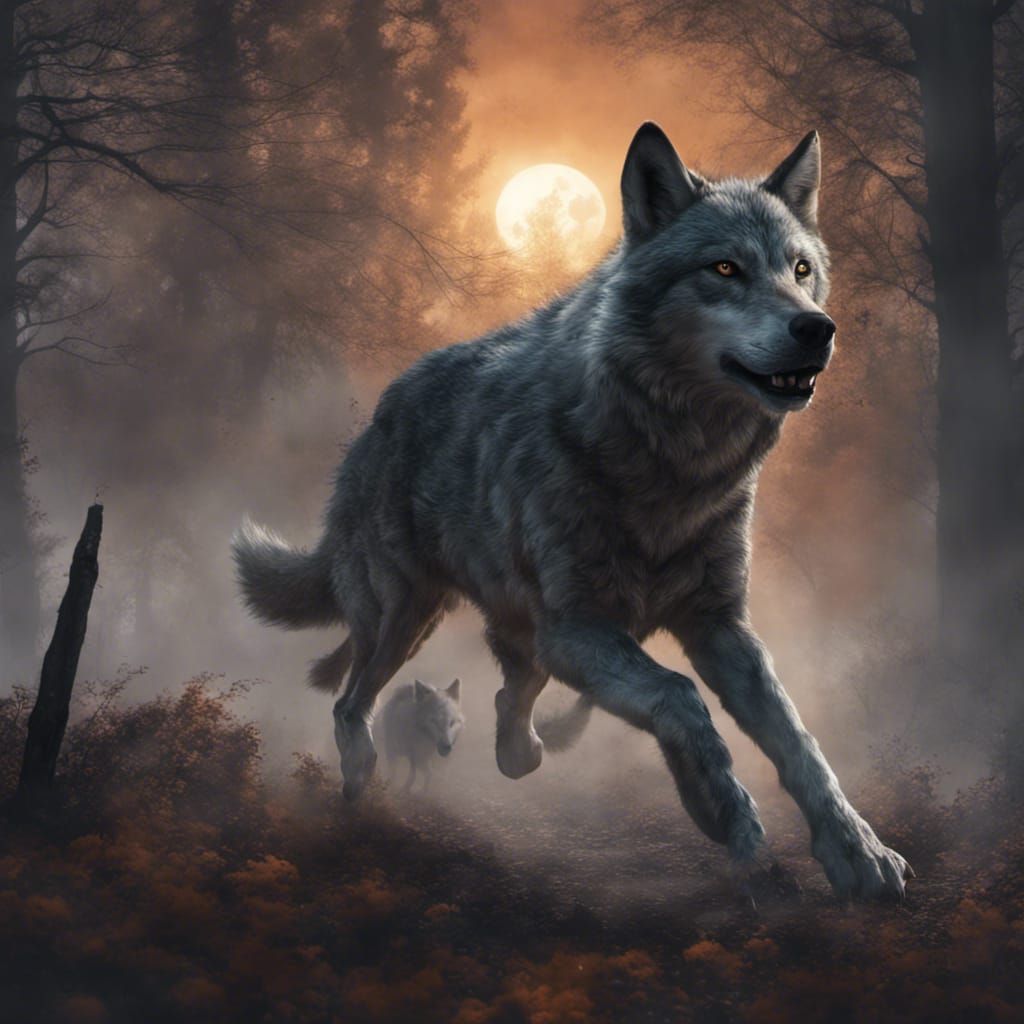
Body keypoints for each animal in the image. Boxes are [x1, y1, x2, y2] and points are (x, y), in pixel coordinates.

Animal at [234, 122, 911, 900]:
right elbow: (681, 698)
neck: (673, 467)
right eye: (725, 268)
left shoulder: (719, 625)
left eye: (800, 270)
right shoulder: (580, 627)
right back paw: (359, 788)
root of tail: (372, 424)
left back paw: (516, 753)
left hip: (508, 632)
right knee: (352, 704)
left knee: (507, 702)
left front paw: (859, 854)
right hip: (406, 618)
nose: (817, 328)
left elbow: (800, 744)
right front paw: (727, 818)